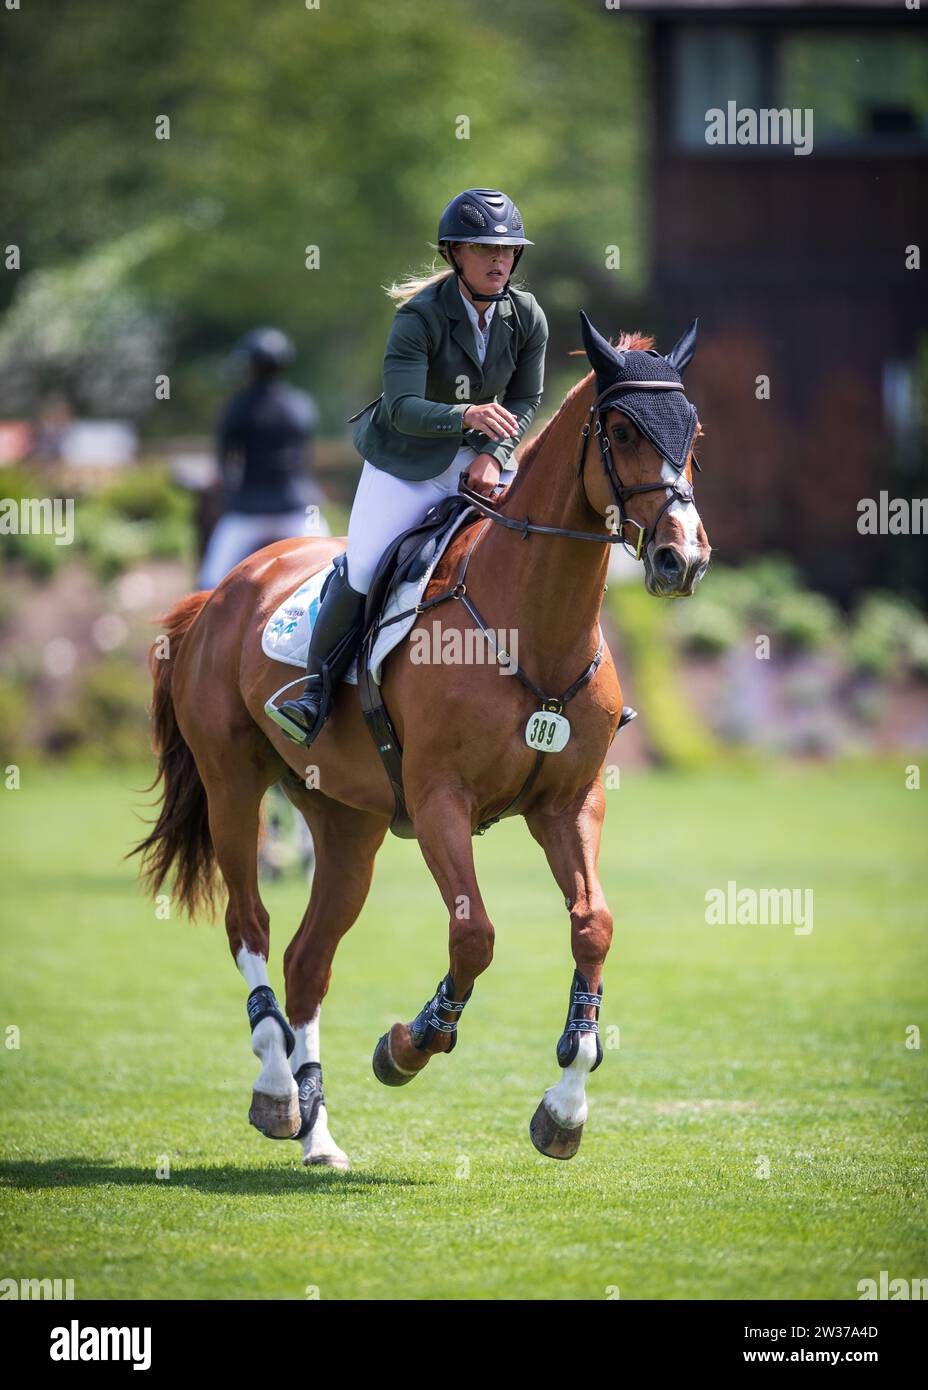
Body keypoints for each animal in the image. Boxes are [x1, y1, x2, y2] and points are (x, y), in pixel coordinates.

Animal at [131, 312, 711, 1168]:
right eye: (623, 430)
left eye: (693, 431)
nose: (683, 557)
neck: (534, 627)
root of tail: (227, 587)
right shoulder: (441, 801)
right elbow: (474, 935)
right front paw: (410, 1044)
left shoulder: (569, 805)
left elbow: (593, 926)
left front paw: (565, 1106)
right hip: (233, 784)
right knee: (251, 926)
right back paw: (277, 1092)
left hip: (347, 820)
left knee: (308, 959)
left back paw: (318, 1134)